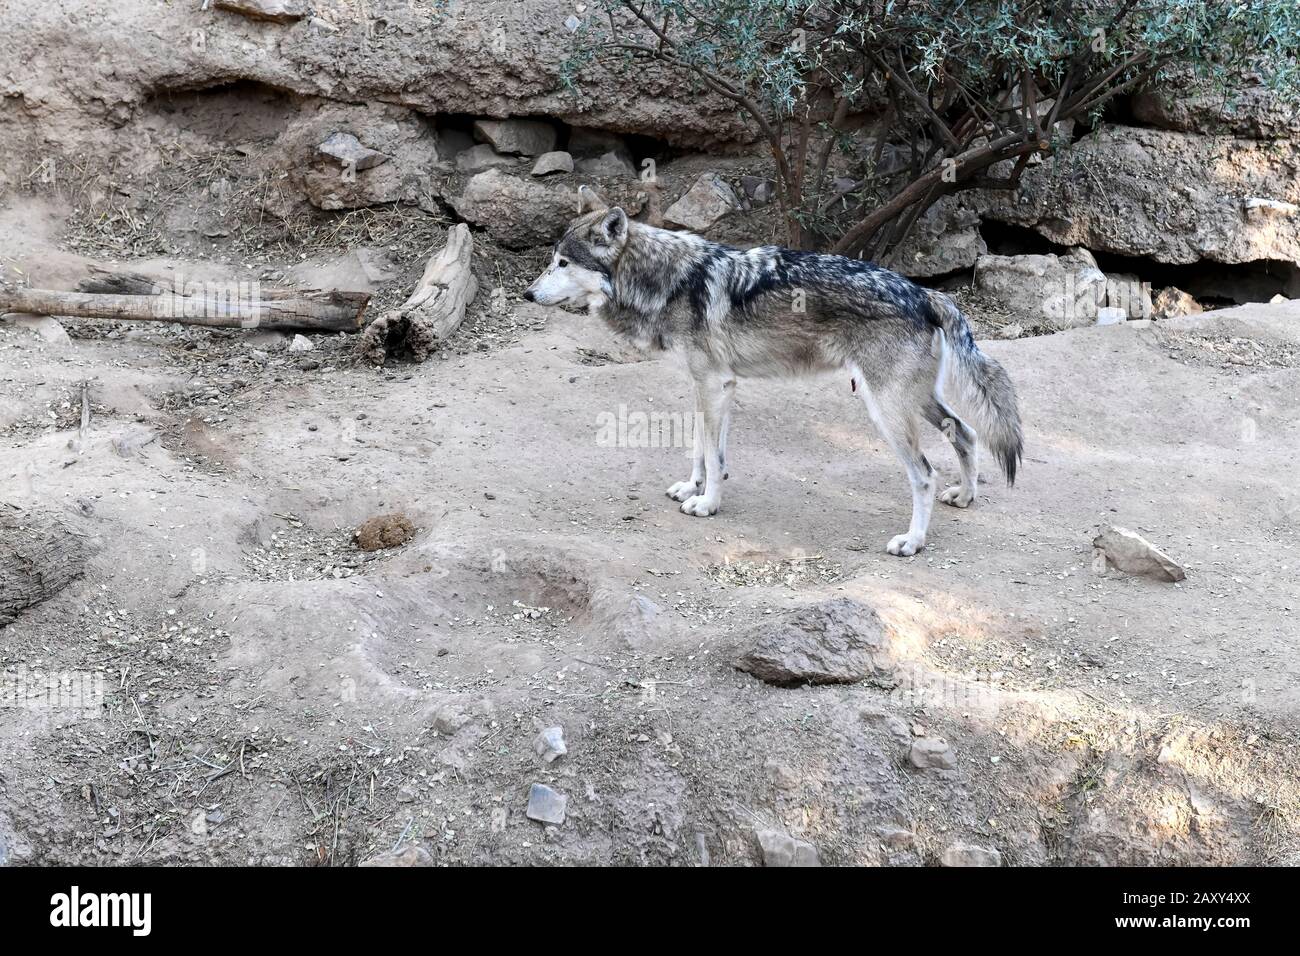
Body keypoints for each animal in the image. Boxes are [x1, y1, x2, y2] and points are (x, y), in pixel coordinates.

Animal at [524, 186, 1023, 555]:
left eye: (563, 263)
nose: (528, 294)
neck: (668, 281)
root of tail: (925, 293)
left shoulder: (713, 384)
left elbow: (713, 455)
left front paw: (707, 505)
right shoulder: (711, 385)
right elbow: (702, 449)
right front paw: (692, 488)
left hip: (885, 410)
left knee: (924, 474)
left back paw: (912, 542)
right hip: (913, 402)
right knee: (966, 432)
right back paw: (965, 496)